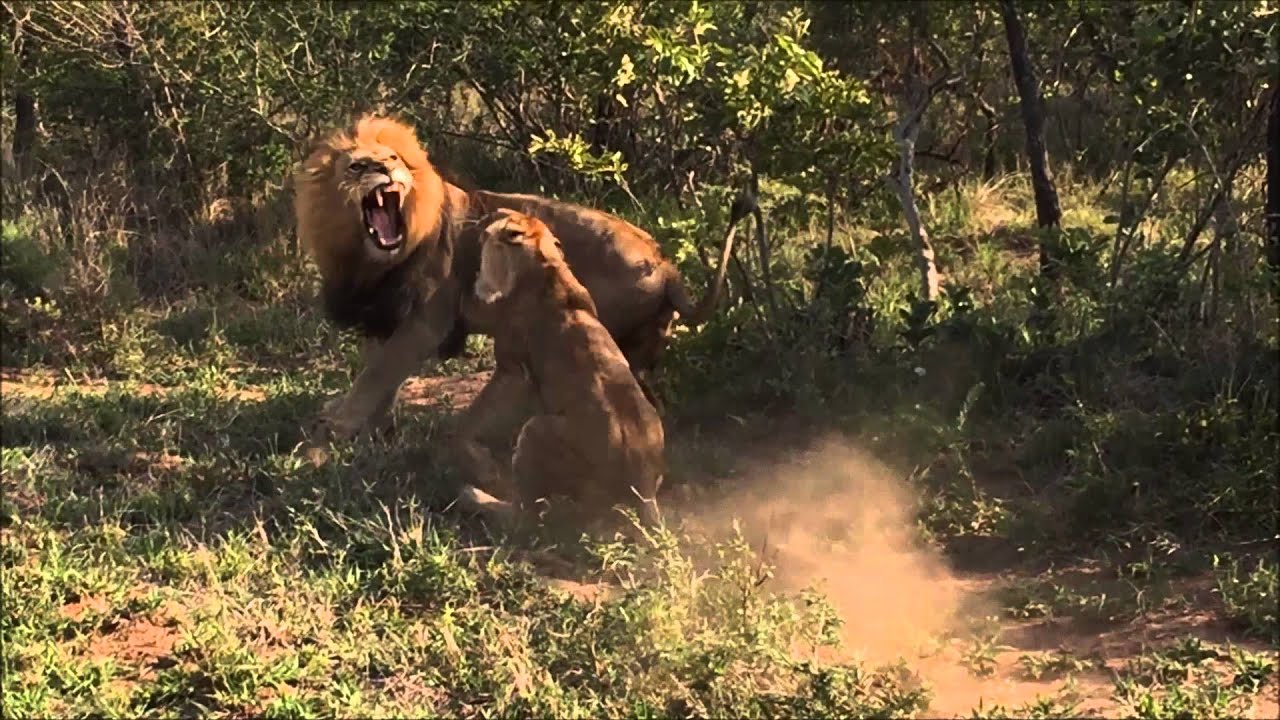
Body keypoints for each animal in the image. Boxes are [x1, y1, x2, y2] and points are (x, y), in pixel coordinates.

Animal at [294, 114, 753, 446]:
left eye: (392, 159)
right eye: (358, 166)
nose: (384, 171)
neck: (368, 259)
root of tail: (667, 265)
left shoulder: (426, 319)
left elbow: (378, 373)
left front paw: (337, 425)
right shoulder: (381, 314)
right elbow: (380, 374)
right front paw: (372, 429)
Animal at [452, 209, 664, 525]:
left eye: (494, 217)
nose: (477, 223)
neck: (544, 260)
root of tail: (643, 484)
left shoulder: (512, 369)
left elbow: (475, 414)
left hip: (535, 431)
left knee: (524, 517)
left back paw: (472, 496)